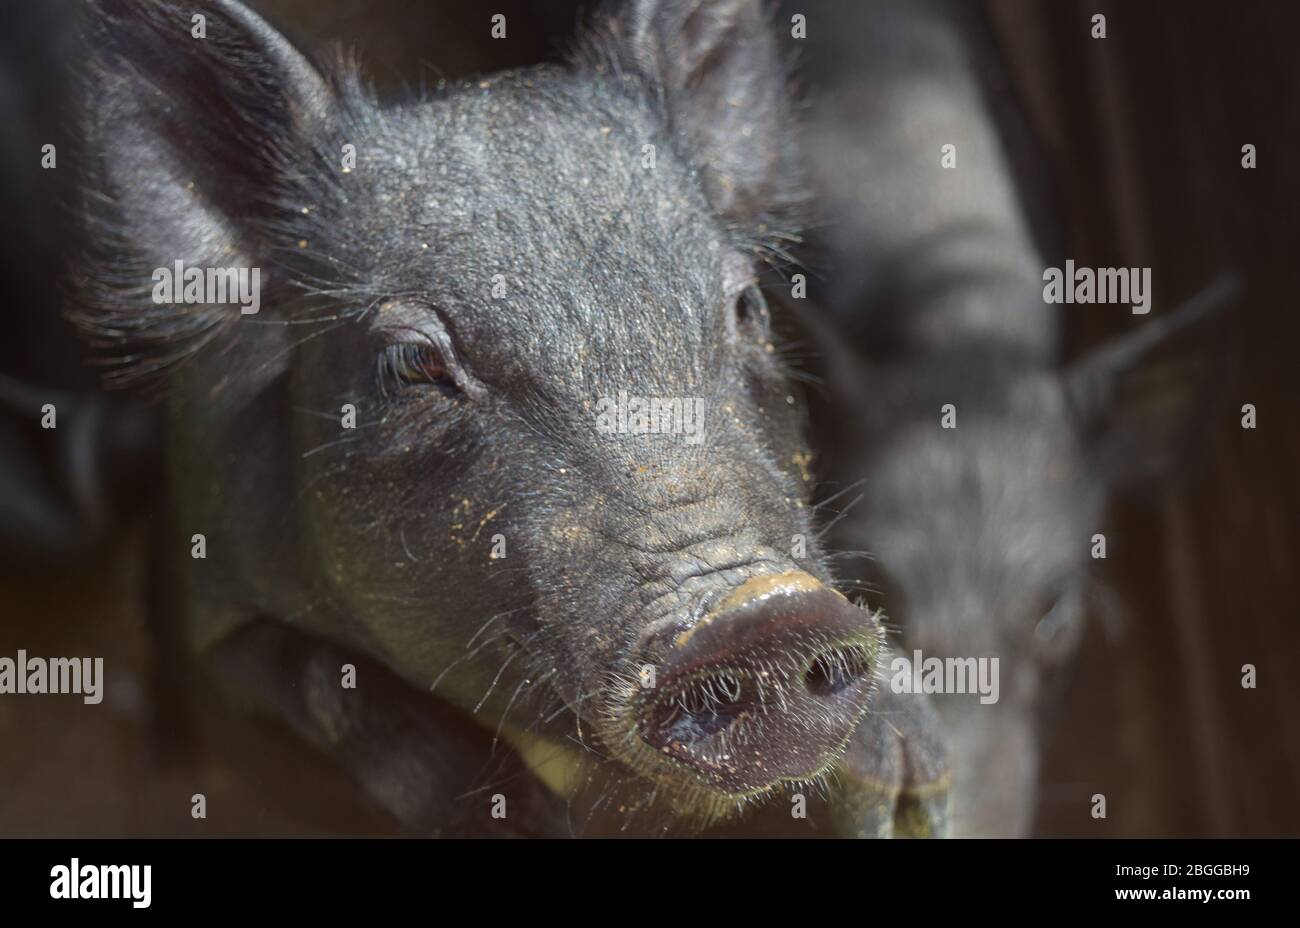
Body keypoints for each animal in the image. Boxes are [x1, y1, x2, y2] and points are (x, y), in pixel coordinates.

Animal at [73, 0, 947, 836]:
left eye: (746, 306)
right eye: (413, 364)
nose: (763, 611)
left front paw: (909, 768)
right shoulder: (203, 602)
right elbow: (323, 689)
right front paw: (519, 817)